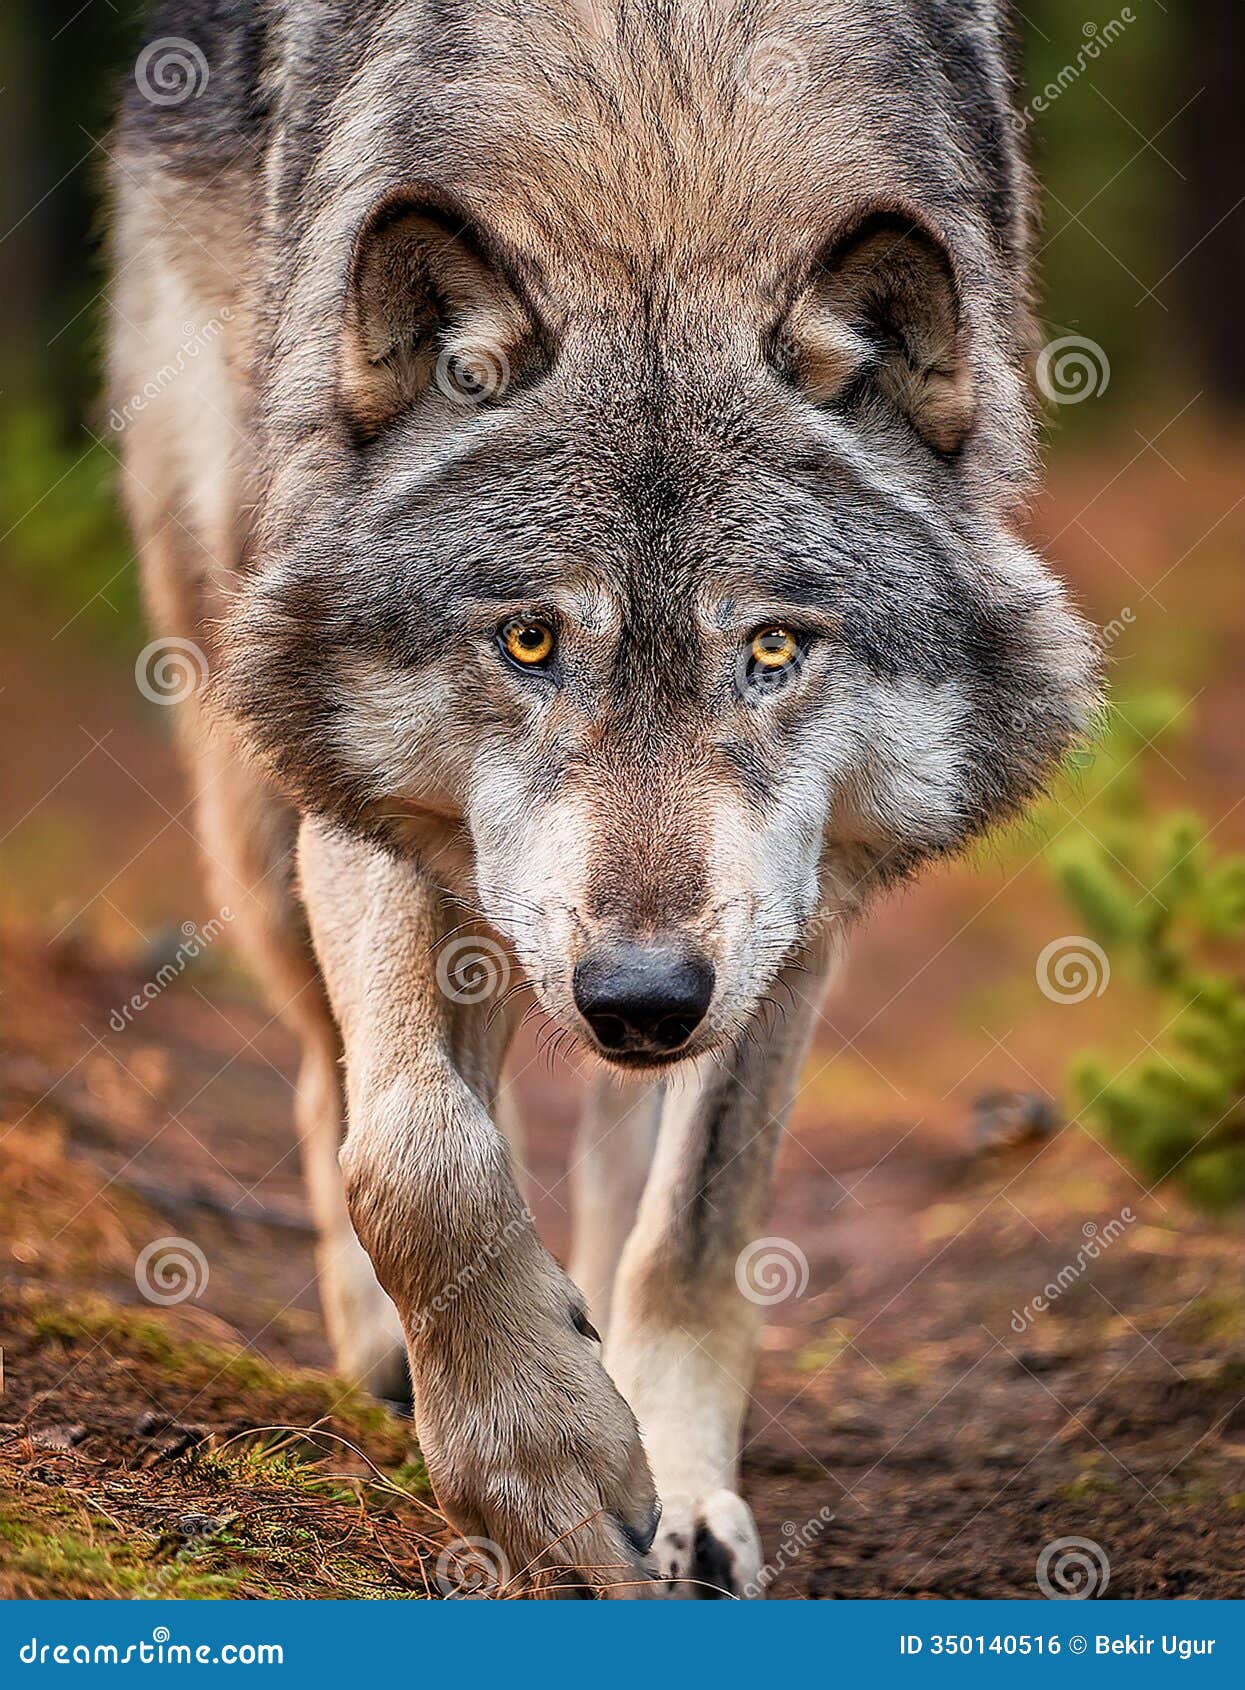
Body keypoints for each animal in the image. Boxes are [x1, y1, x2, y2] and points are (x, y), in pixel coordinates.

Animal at [109, 0, 1098, 1596]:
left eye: (772, 649)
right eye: (529, 640)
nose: (640, 997)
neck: (663, 159)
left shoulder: (794, 905)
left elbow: (695, 1224)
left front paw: (673, 1483)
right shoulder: (377, 815)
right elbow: (418, 1154)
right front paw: (546, 1462)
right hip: (251, 781)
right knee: (342, 1071)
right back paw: (398, 1349)